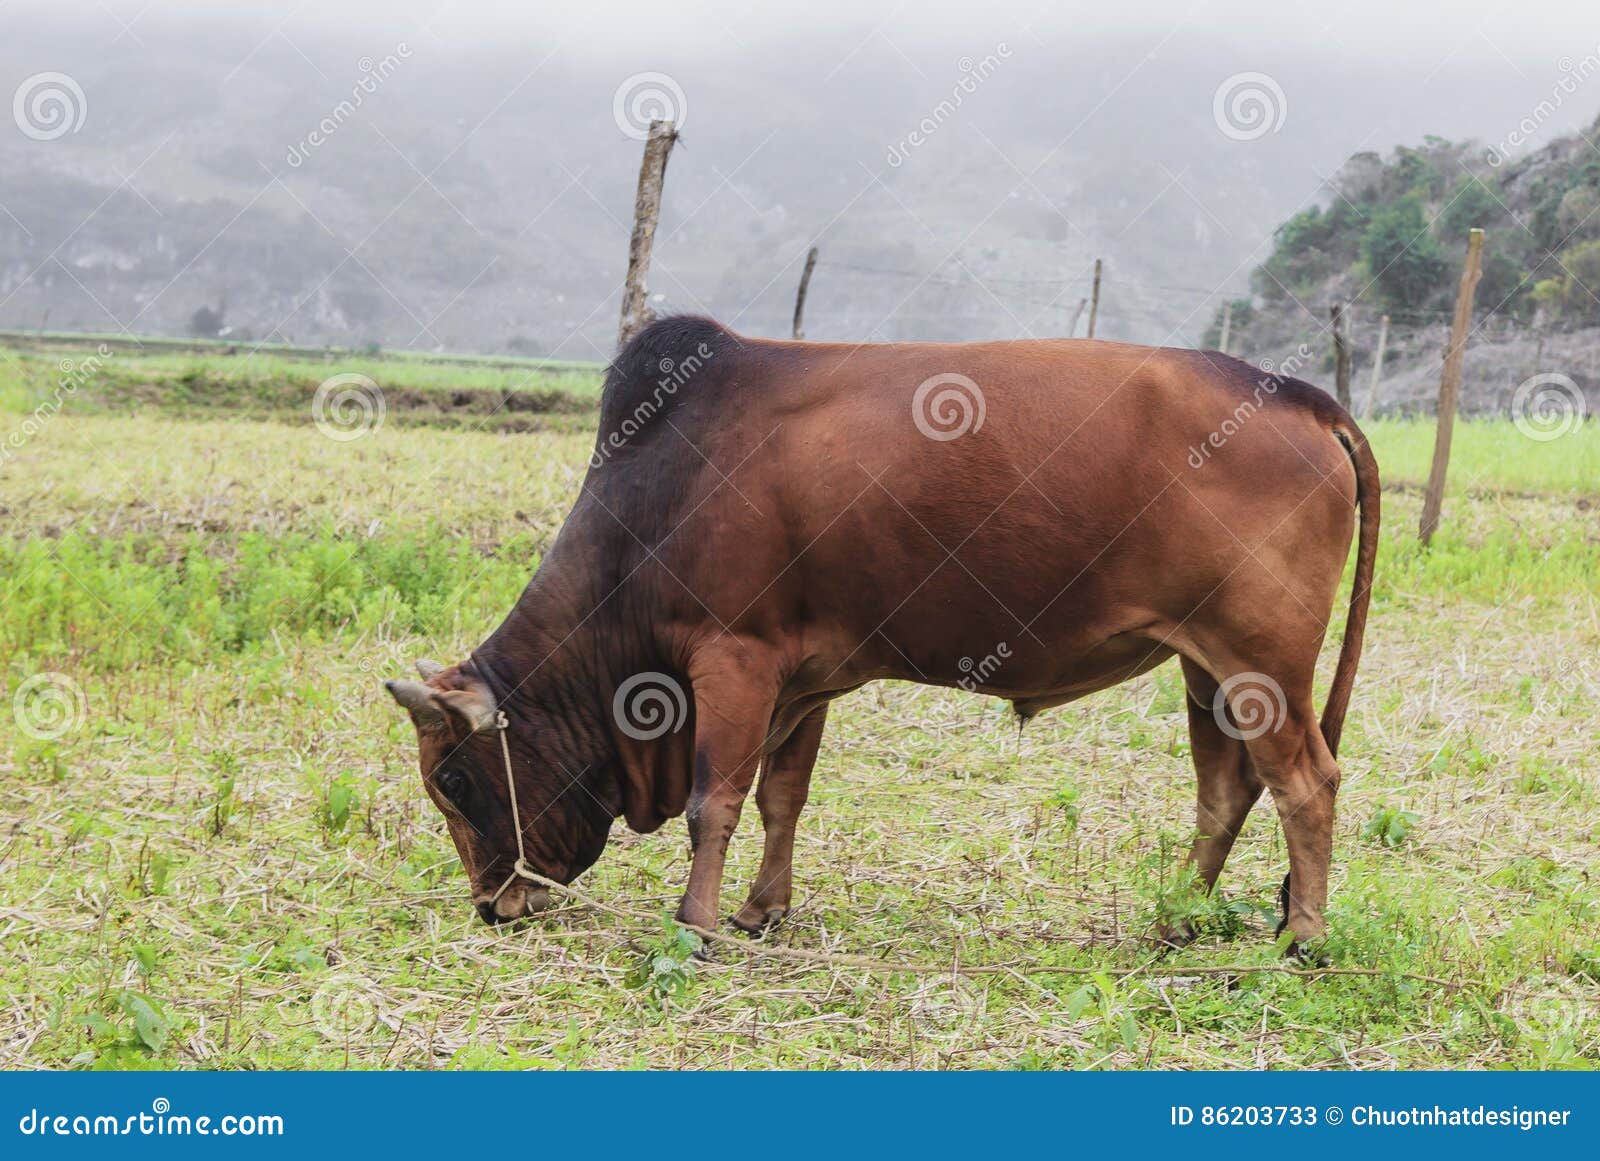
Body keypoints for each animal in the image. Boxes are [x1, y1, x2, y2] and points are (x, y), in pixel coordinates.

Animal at [386, 315, 1378, 954]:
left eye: (455, 779)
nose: (492, 906)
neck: (656, 499)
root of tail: (1298, 395)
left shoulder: (734, 659)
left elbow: (715, 800)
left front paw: (695, 925)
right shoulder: (807, 673)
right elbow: (782, 798)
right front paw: (760, 911)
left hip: (1261, 666)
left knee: (1306, 783)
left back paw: (1304, 939)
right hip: (1204, 670)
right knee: (1226, 793)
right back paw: (1176, 920)